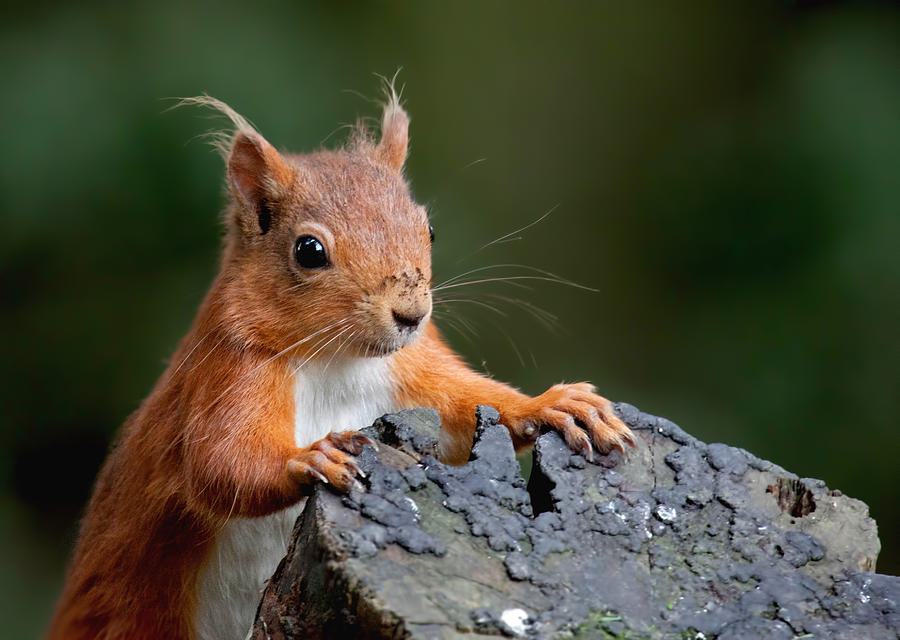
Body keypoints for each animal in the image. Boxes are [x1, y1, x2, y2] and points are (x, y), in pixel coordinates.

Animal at [45, 85, 635, 640]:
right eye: (309, 251)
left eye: (428, 229)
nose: (411, 314)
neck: (337, 363)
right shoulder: (230, 370)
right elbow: (221, 463)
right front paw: (311, 457)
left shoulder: (413, 369)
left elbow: (467, 416)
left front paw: (556, 405)